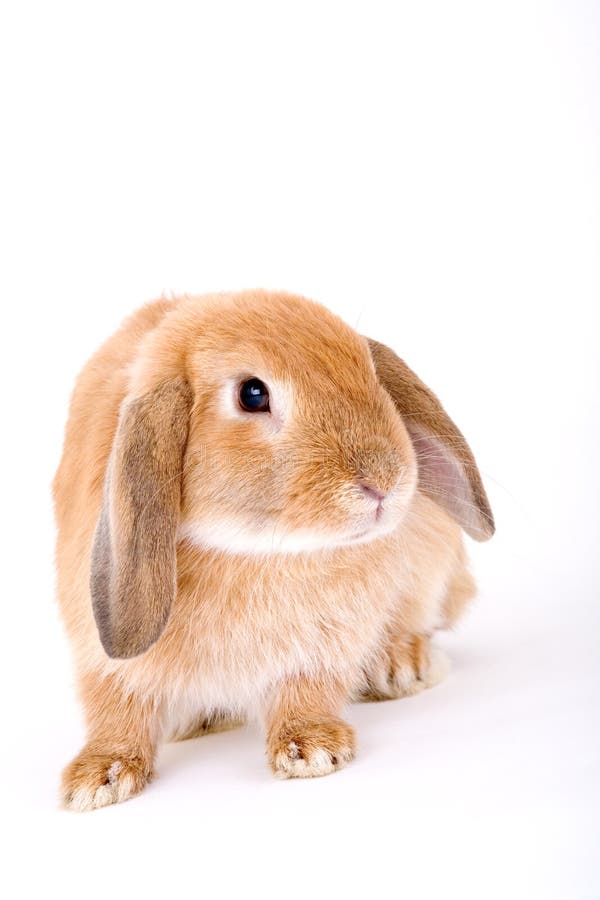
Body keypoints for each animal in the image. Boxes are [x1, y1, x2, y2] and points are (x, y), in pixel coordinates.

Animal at [53, 290, 494, 810]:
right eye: (253, 394)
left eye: (370, 372)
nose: (383, 482)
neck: (249, 549)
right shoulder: (101, 650)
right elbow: (115, 706)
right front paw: (98, 778)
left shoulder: (323, 643)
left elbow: (307, 690)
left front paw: (312, 750)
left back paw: (402, 667)